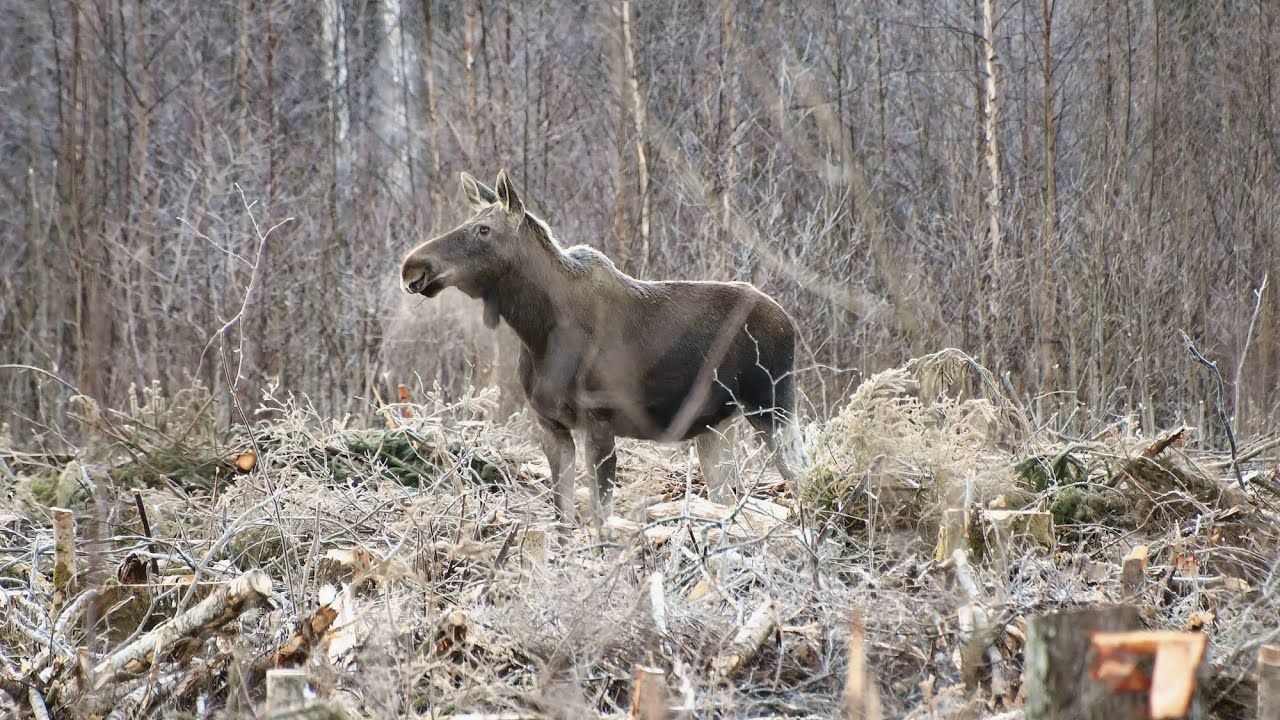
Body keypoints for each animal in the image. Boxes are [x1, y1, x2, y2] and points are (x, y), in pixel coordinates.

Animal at [400, 170, 810, 529]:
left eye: (483, 230)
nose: (412, 267)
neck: (538, 332)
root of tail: (791, 323)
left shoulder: (599, 417)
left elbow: (600, 516)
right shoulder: (549, 423)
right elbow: (562, 516)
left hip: (772, 403)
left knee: (803, 475)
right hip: (717, 425)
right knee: (727, 499)